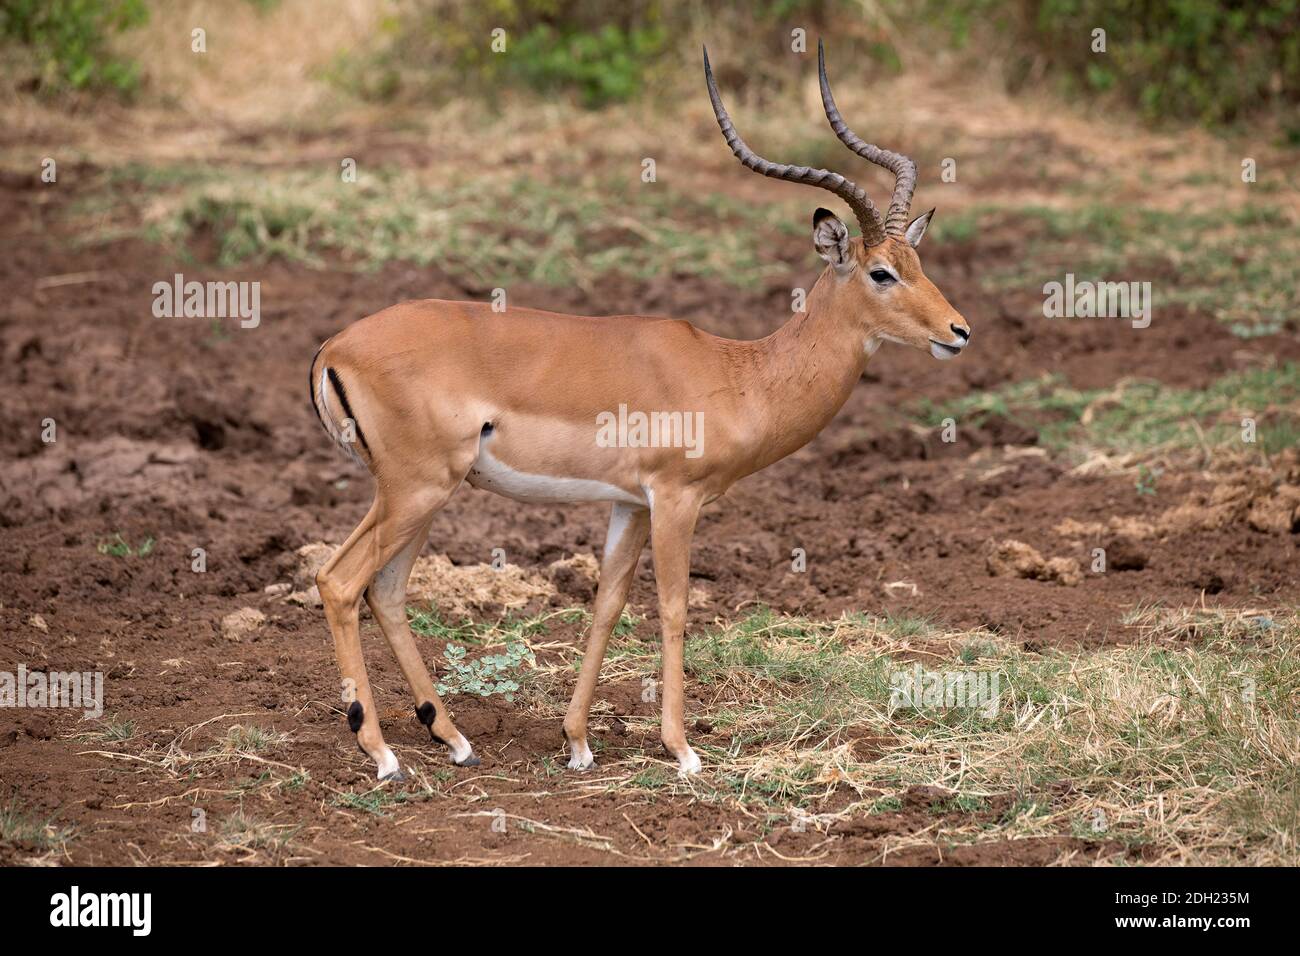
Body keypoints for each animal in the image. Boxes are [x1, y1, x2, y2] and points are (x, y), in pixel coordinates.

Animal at [308, 42, 970, 780]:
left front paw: (577, 742)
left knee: (386, 590)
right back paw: (382, 752)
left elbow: (606, 605)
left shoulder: (629, 504)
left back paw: (451, 738)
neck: (739, 372)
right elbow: (676, 609)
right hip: (416, 489)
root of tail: (335, 347)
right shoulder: (676, 499)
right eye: (881, 272)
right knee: (339, 581)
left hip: (418, 494)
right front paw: (681, 749)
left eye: (918, 261)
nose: (959, 332)